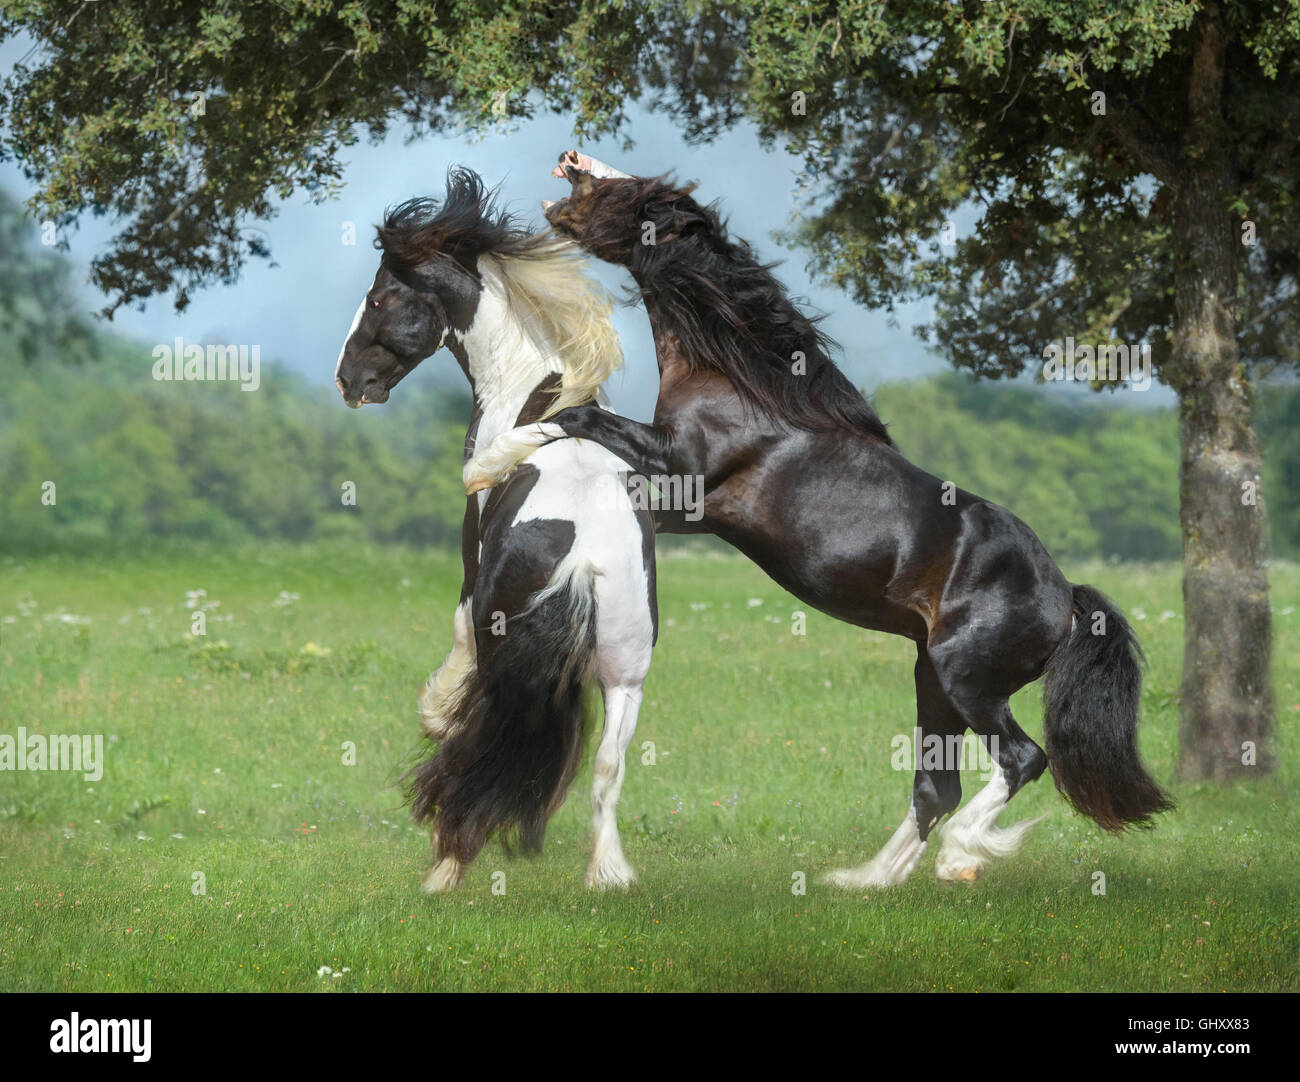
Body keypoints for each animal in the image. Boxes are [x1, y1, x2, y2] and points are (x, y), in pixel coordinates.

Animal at [334, 165, 657, 891]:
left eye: (379, 296)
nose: (349, 380)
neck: (533, 388)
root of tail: (581, 563)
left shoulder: (468, 566)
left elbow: (454, 638)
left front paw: (433, 712)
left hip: (510, 649)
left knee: (480, 747)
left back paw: (445, 869)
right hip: (626, 675)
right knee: (607, 771)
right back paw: (607, 874)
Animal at [464, 151, 1172, 889]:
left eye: (631, 193)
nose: (572, 161)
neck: (745, 382)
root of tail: (1065, 598)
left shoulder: (679, 472)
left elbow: (574, 417)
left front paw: (486, 465)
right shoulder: (687, 510)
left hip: (967, 679)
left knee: (1021, 759)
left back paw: (959, 856)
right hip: (932, 680)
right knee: (935, 786)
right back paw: (865, 881)